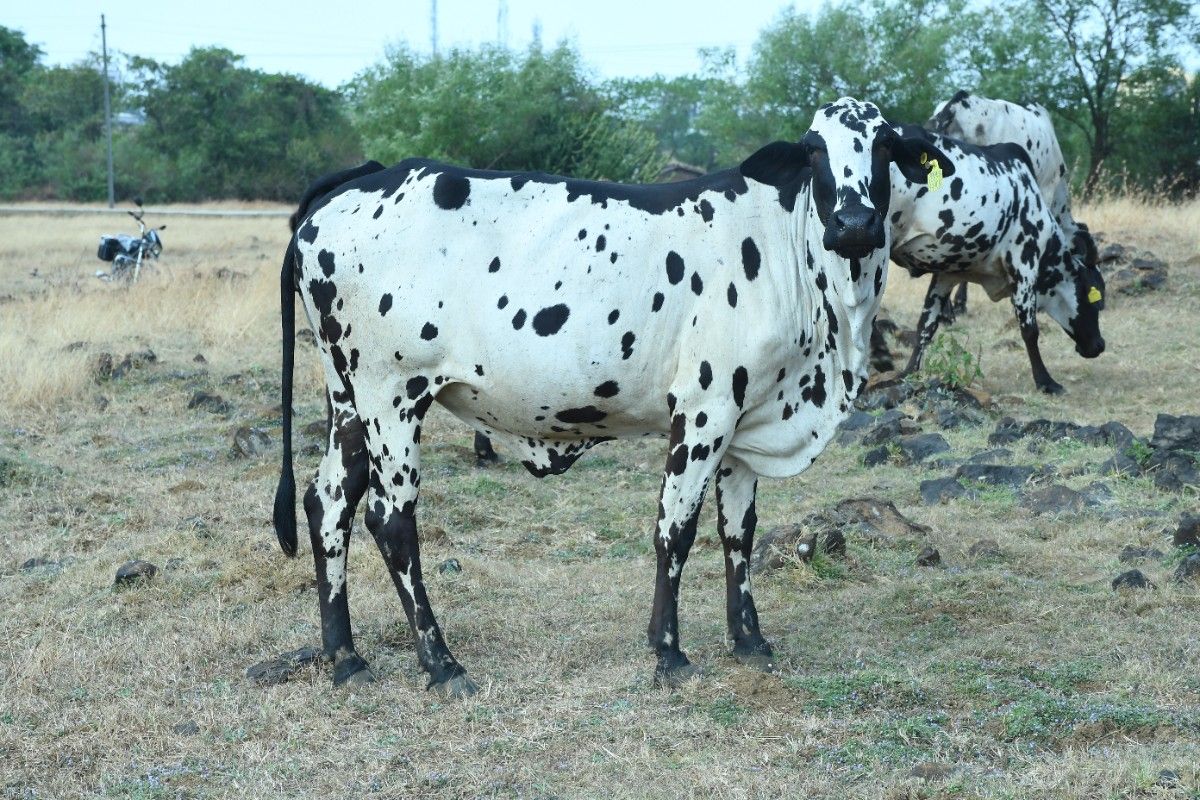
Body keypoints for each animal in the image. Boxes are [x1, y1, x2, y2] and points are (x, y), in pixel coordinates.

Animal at [272, 98, 953, 696]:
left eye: (885, 145)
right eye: (814, 150)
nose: (854, 224)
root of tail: (361, 179)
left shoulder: (746, 419)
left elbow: (739, 532)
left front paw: (749, 641)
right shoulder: (703, 410)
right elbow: (675, 529)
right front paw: (669, 652)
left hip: (348, 399)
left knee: (327, 503)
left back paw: (345, 657)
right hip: (392, 396)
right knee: (390, 520)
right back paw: (441, 663)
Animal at [887, 123, 1106, 394]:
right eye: (1096, 298)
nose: (1099, 345)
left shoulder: (946, 275)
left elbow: (926, 325)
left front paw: (909, 372)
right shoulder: (1025, 265)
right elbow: (1029, 330)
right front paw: (1045, 381)